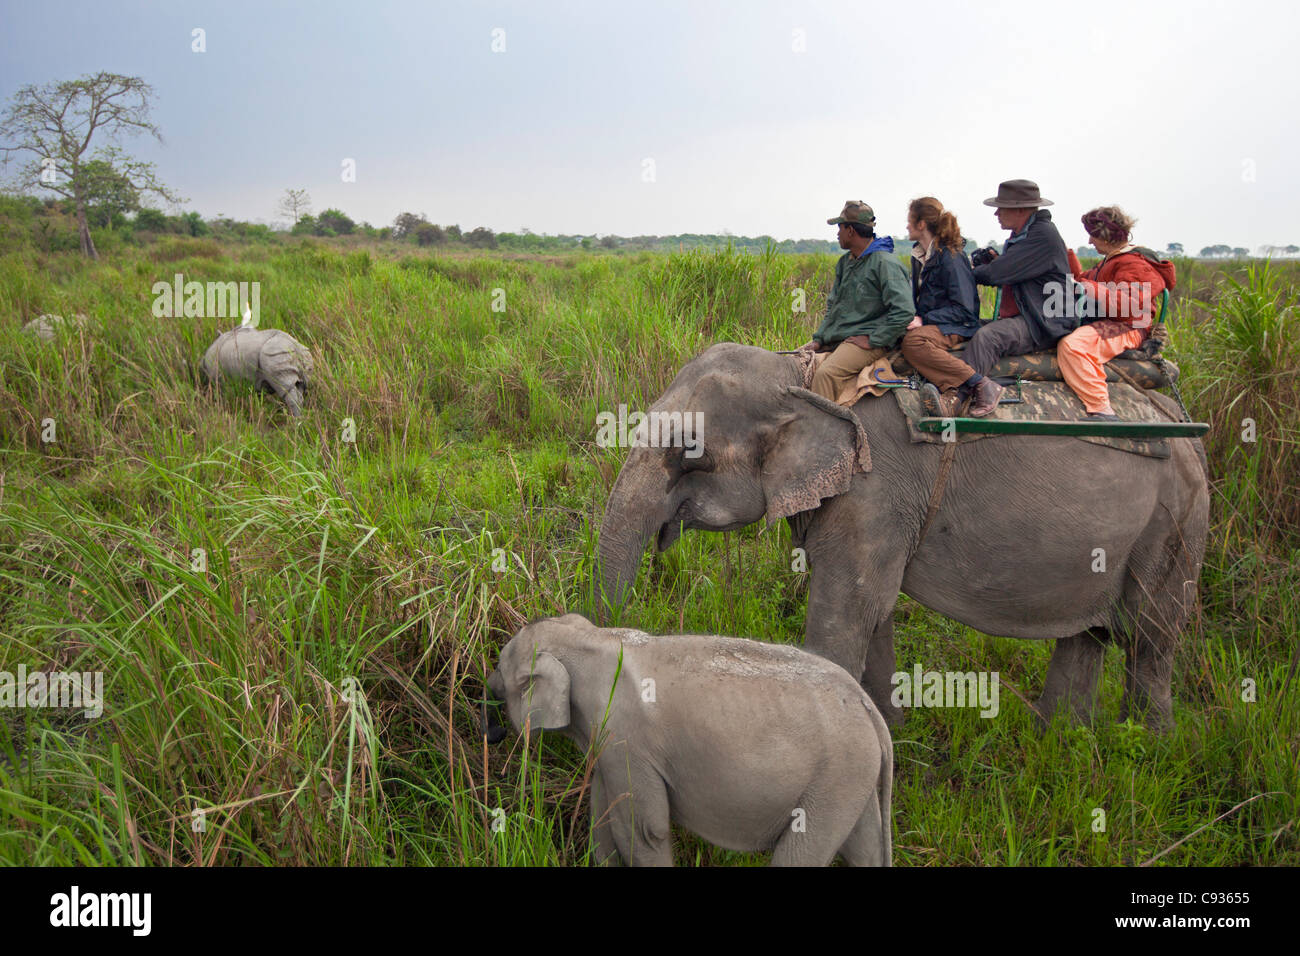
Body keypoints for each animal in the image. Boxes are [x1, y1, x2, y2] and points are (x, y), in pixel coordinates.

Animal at [488, 613, 894, 868]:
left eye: (502, 668)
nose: (492, 730)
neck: (592, 637)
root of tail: (871, 711)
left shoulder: (626, 738)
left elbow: (644, 830)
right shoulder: (610, 746)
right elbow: (604, 815)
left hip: (836, 777)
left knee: (803, 852)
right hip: (852, 782)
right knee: (866, 849)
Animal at [595, 343, 1206, 733]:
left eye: (688, 453)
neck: (801, 377)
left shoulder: (877, 486)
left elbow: (846, 610)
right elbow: (876, 610)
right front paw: (892, 732)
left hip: (1174, 523)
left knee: (1151, 637)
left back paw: (1146, 749)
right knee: (1090, 635)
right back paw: (1059, 743)